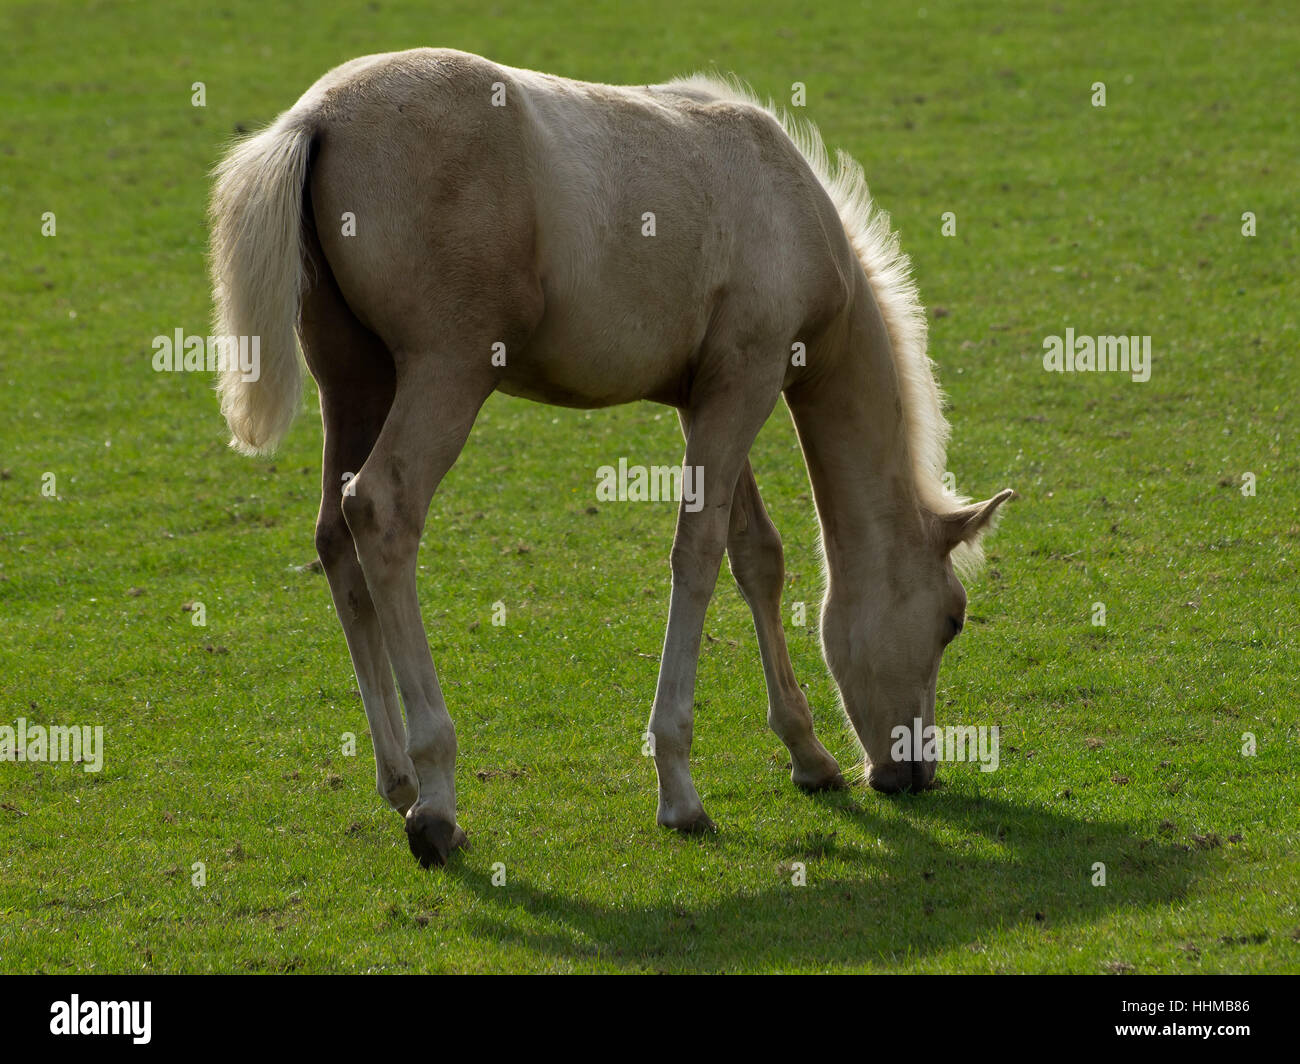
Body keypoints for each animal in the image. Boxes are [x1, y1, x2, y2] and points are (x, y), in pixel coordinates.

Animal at [208, 48, 1014, 869]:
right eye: (953, 620)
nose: (914, 772)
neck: (786, 201)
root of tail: (318, 117)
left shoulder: (708, 398)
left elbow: (756, 555)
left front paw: (809, 754)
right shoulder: (746, 384)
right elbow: (698, 556)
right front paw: (680, 789)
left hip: (354, 379)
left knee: (336, 537)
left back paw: (399, 778)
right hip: (446, 372)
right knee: (381, 510)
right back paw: (436, 801)